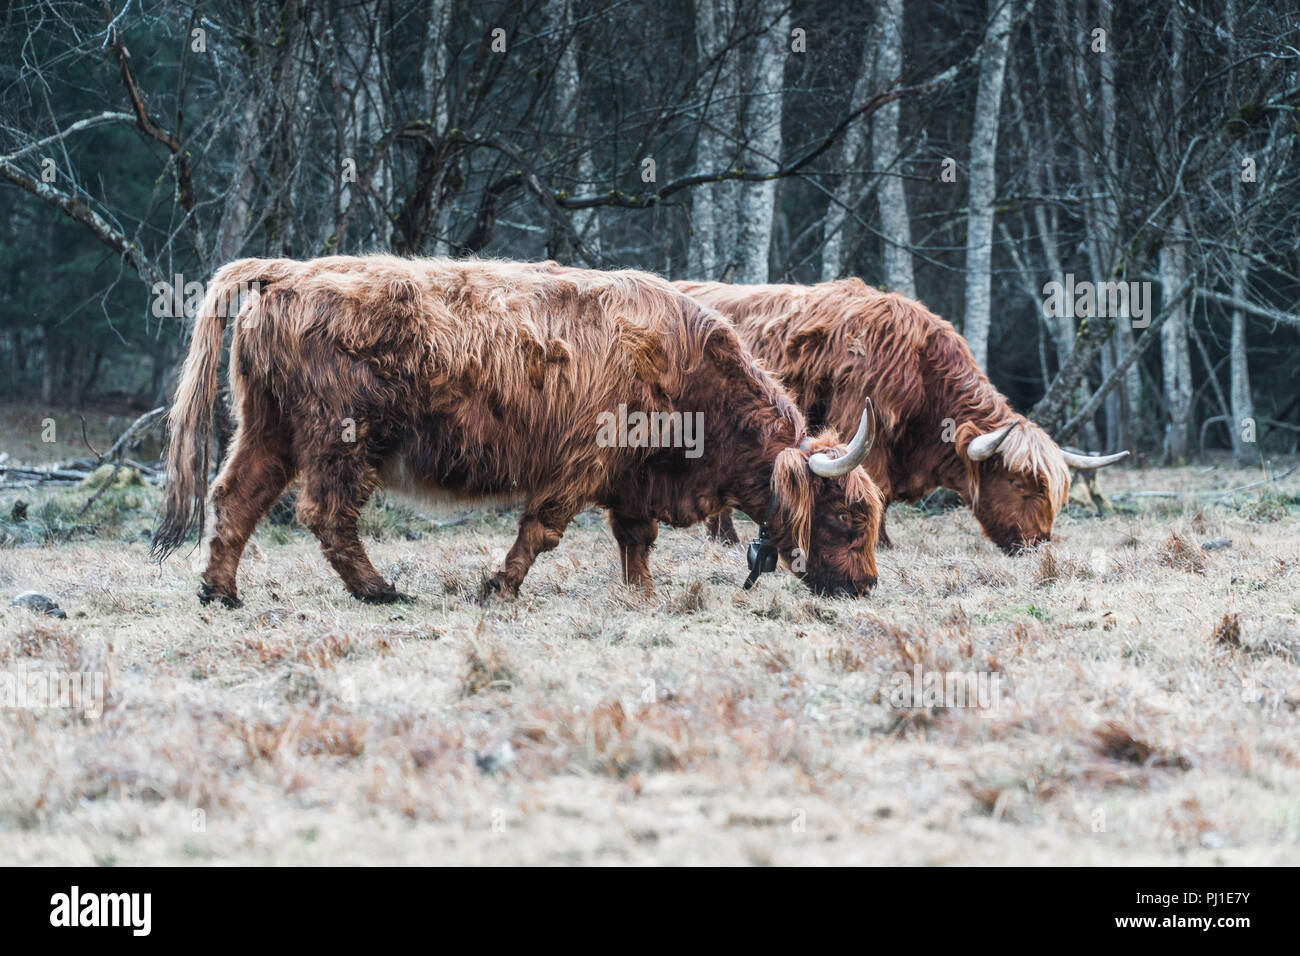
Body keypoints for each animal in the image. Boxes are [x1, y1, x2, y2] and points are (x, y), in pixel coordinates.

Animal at [152, 256, 885, 605]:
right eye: (848, 517)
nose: (867, 585)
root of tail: (288, 272)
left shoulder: (633, 478)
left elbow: (635, 539)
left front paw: (643, 593)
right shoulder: (584, 461)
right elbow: (542, 529)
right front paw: (499, 586)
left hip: (268, 426)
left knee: (236, 497)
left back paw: (220, 592)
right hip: (343, 436)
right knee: (327, 514)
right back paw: (379, 590)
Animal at [675, 278, 1128, 553]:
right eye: (1018, 483)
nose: (1038, 543)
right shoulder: (861, 424)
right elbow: (875, 484)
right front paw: (881, 542)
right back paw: (725, 536)